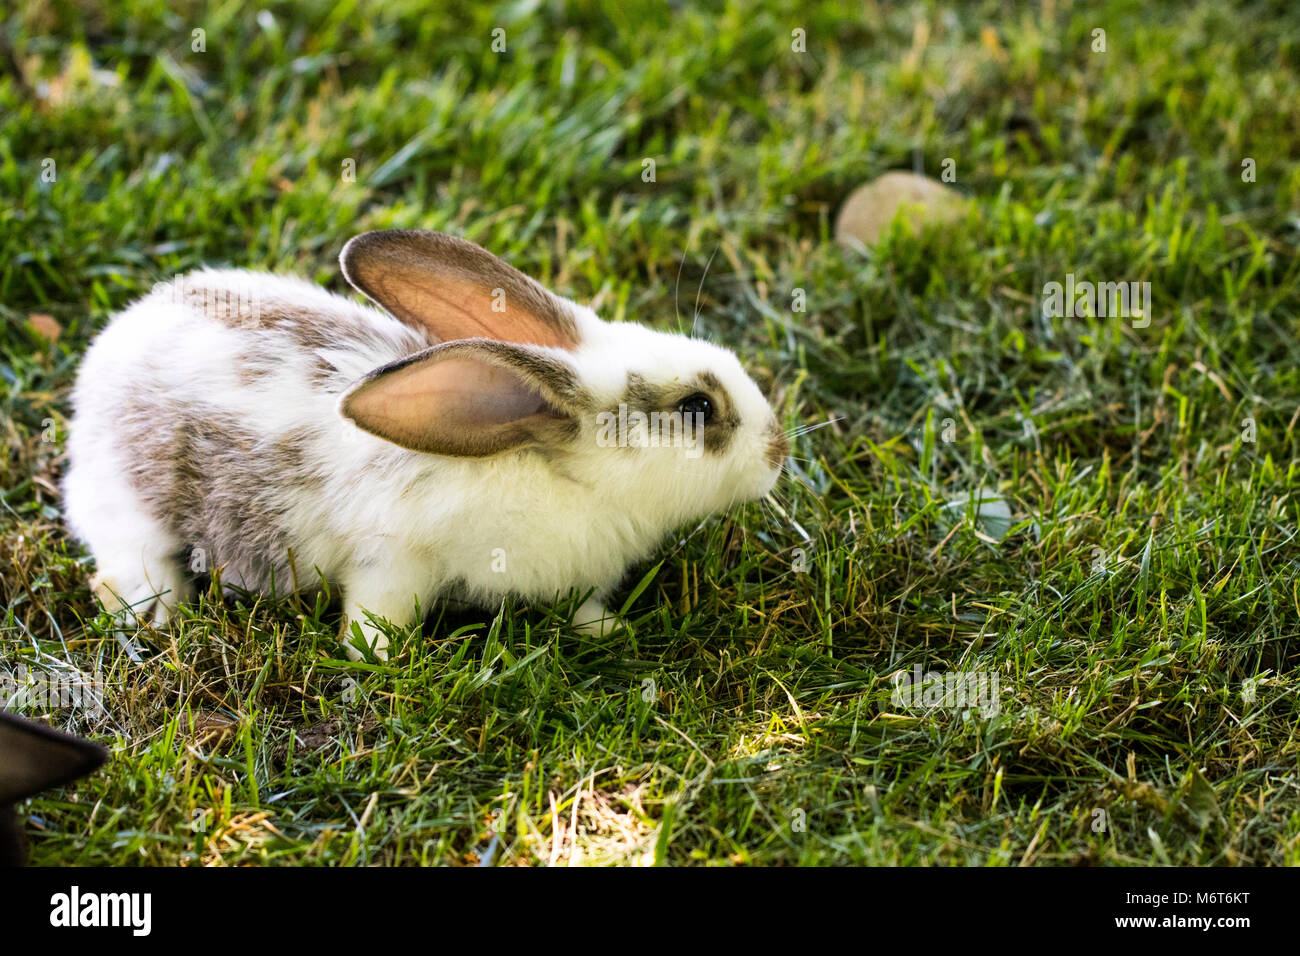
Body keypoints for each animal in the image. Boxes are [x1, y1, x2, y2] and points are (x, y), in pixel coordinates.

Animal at [63, 229, 789, 660]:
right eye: (697, 409)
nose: (778, 450)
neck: (555, 472)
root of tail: (111, 349)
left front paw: (609, 629)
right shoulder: (395, 560)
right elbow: (376, 611)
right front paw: (376, 657)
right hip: (129, 509)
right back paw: (157, 614)